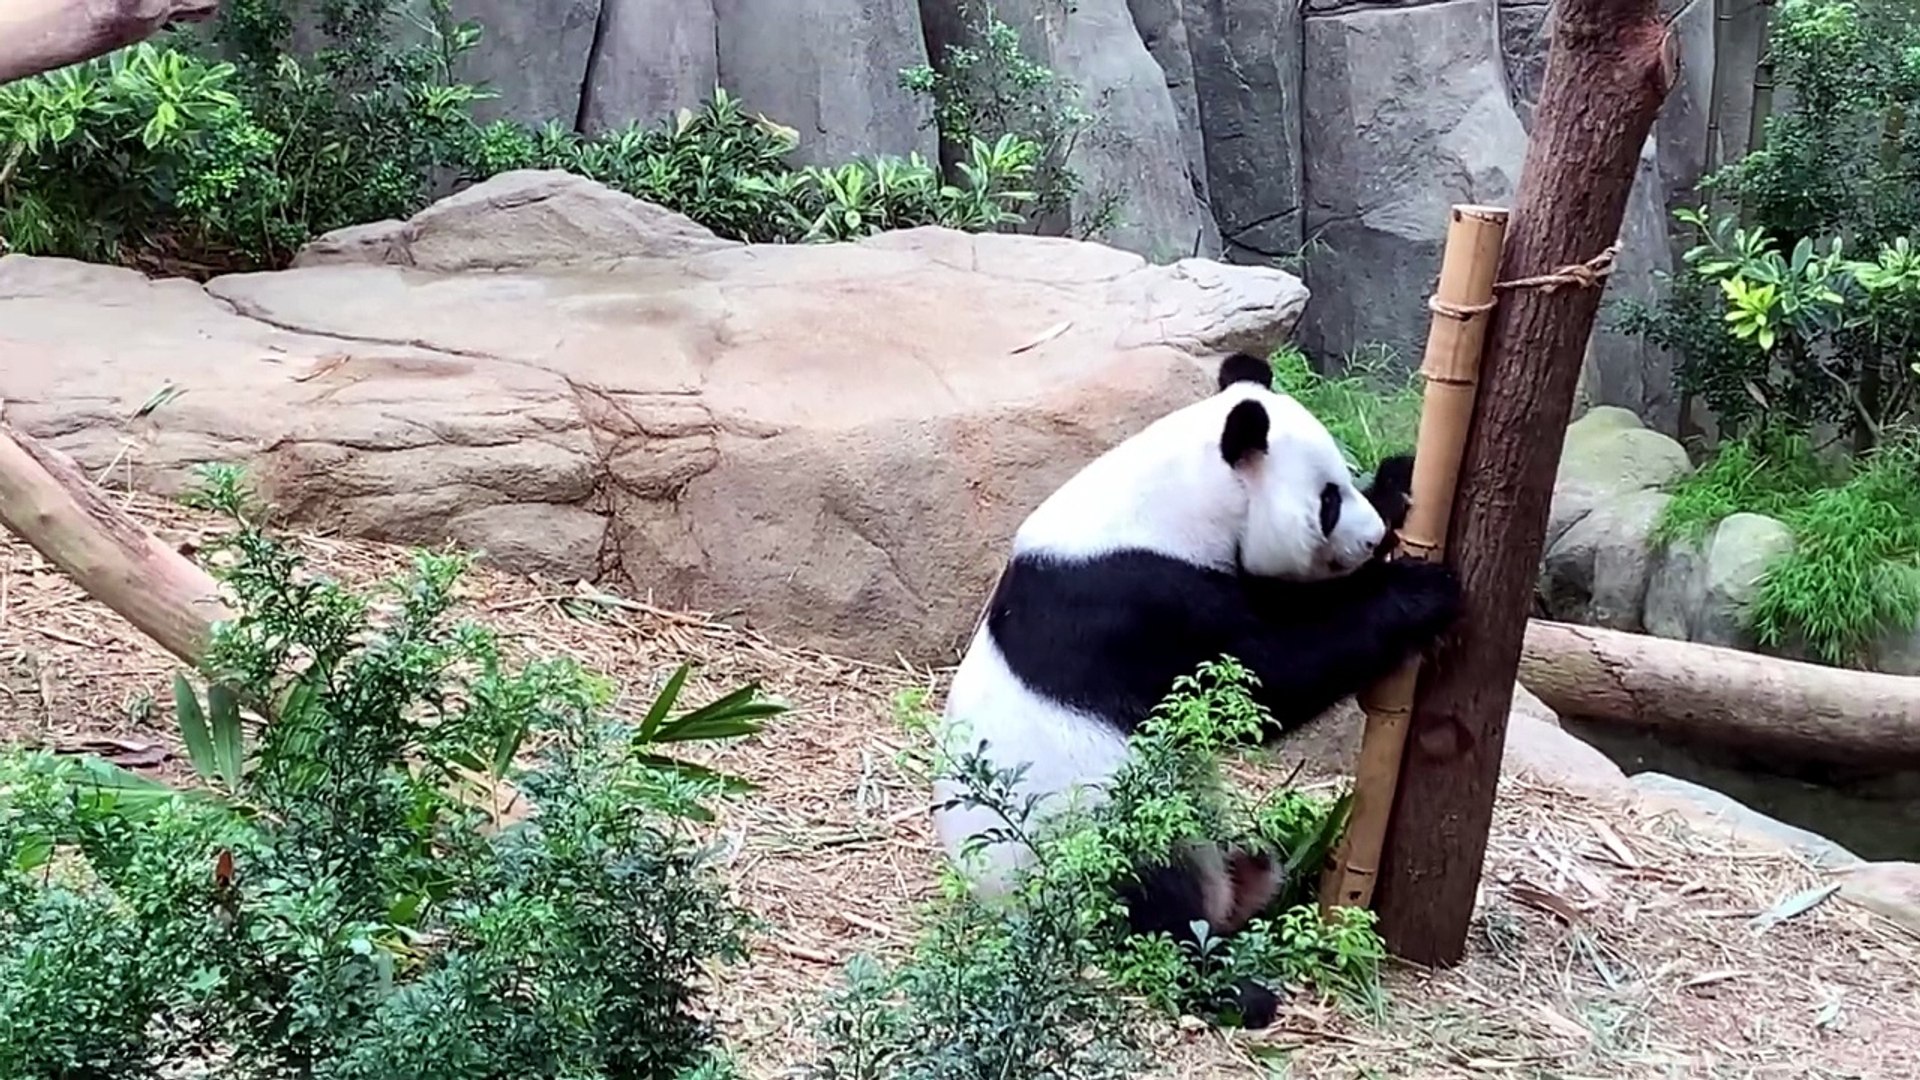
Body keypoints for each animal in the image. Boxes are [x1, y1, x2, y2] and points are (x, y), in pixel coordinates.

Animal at [929, 349, 1462, 1028]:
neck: (1165, 500)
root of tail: (1003, 914)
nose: (1369, 539)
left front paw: (1399, 481)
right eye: (1327, 502)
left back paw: (1265, 879)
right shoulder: (1138, 603)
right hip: (1097, 839)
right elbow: (1259, 684)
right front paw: (1421, 594)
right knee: (1151, 898)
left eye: (1345, 479)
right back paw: (1231, 986)